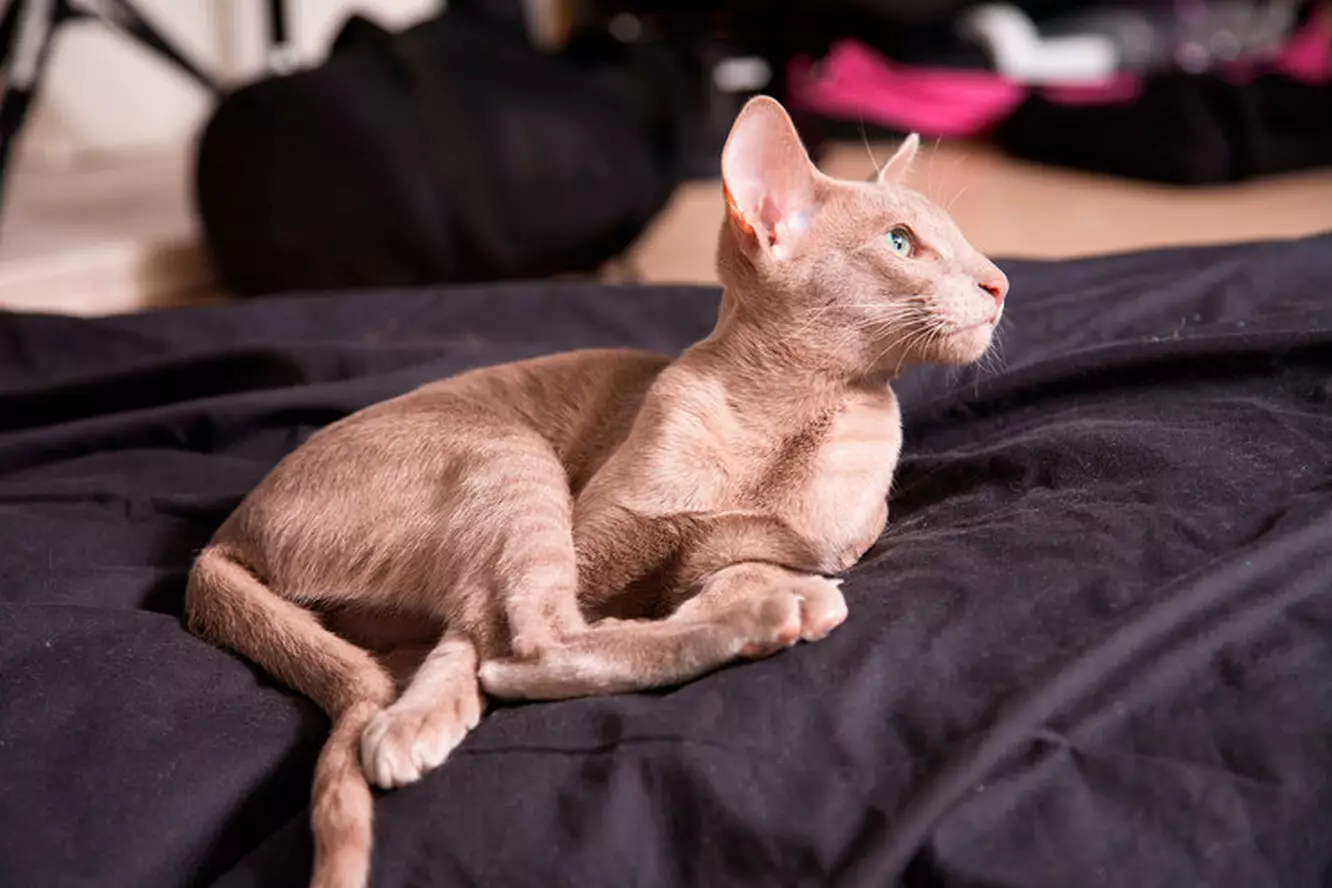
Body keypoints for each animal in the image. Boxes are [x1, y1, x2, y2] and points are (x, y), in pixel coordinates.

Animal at [182, 93, 1001, 884]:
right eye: (901, 243)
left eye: (961, 241)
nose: (1000, 280)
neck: (782, 427)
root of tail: (222, 537)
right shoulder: (591, 539)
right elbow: (488, 644)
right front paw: (413, 723)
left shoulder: (782, 551)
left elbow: (720, 574)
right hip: (511, 455)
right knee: (529, 642)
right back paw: (769, 618)